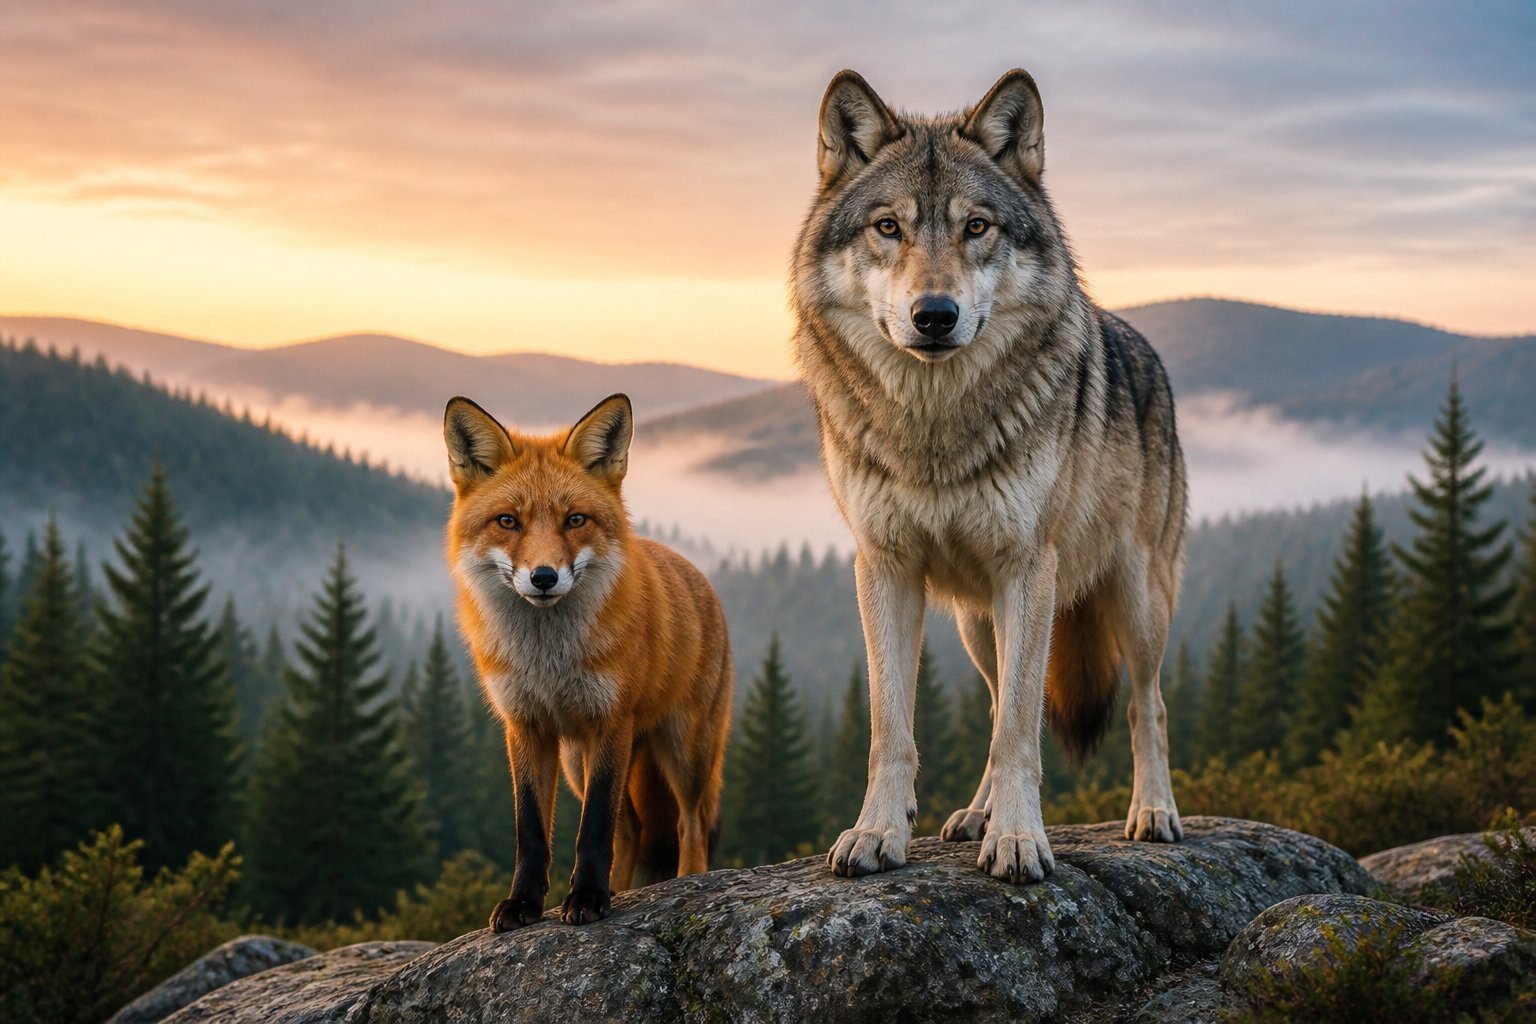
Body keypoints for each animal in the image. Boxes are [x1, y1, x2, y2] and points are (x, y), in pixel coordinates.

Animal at [443, 393, 733, 930]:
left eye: (574, 519)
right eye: (508, 521)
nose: (543, 577)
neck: (548, 661)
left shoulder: (610, 721)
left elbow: (592, 828)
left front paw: (588, 898)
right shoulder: (526, 726)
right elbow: (532, 831)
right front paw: (524, 903)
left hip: (684, 751)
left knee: (691, 824)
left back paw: (687, 881)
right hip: (579, 762)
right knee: (632, 830)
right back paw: (619, 889)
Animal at [792, 69, 1188, 884]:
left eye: (977, 227)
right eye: (888, 228)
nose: (935, 314)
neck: (933, 427)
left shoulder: (1026, 568)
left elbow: (1022, 737)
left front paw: (1018, 841)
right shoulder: (884, 568)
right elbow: (893, 727)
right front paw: (878, 833)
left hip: (1135, 601)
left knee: (1147, 704)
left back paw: (1153, 813)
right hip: (978, 623)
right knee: (1000, 700)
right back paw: (973, 815)